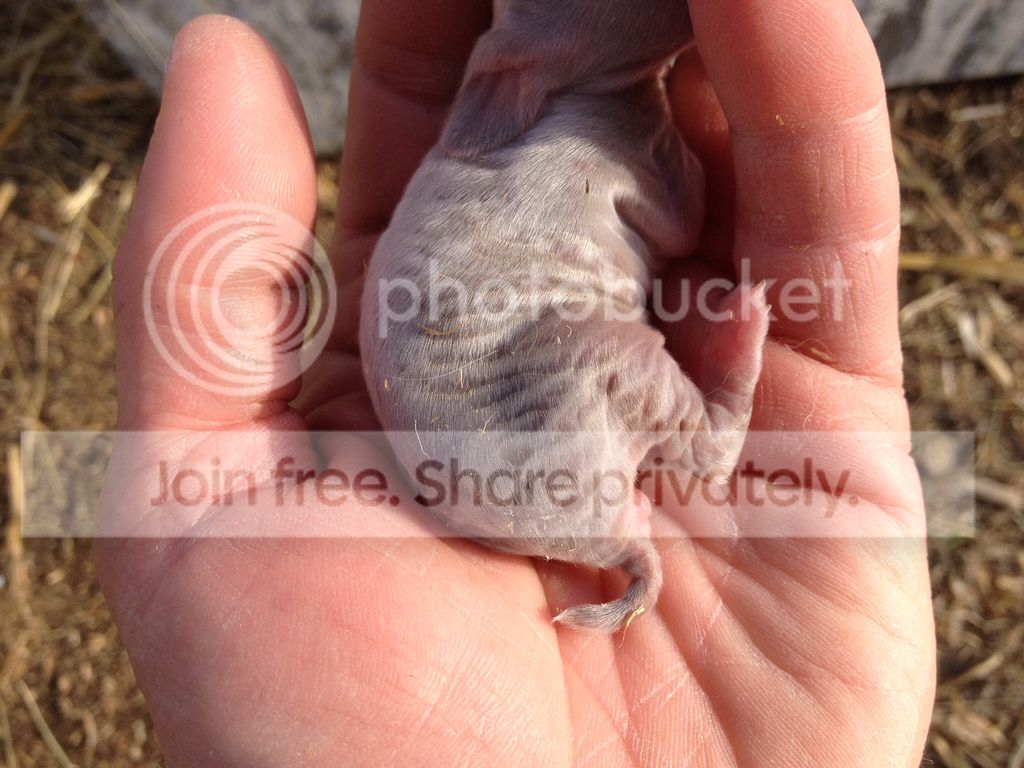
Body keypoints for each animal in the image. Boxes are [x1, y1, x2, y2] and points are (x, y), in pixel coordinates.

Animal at [359, 0, 770, 631]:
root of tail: (602, 540)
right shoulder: (633, 154)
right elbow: (687, 214)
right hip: (606, 353)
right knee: (709, 453)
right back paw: (747, 322)